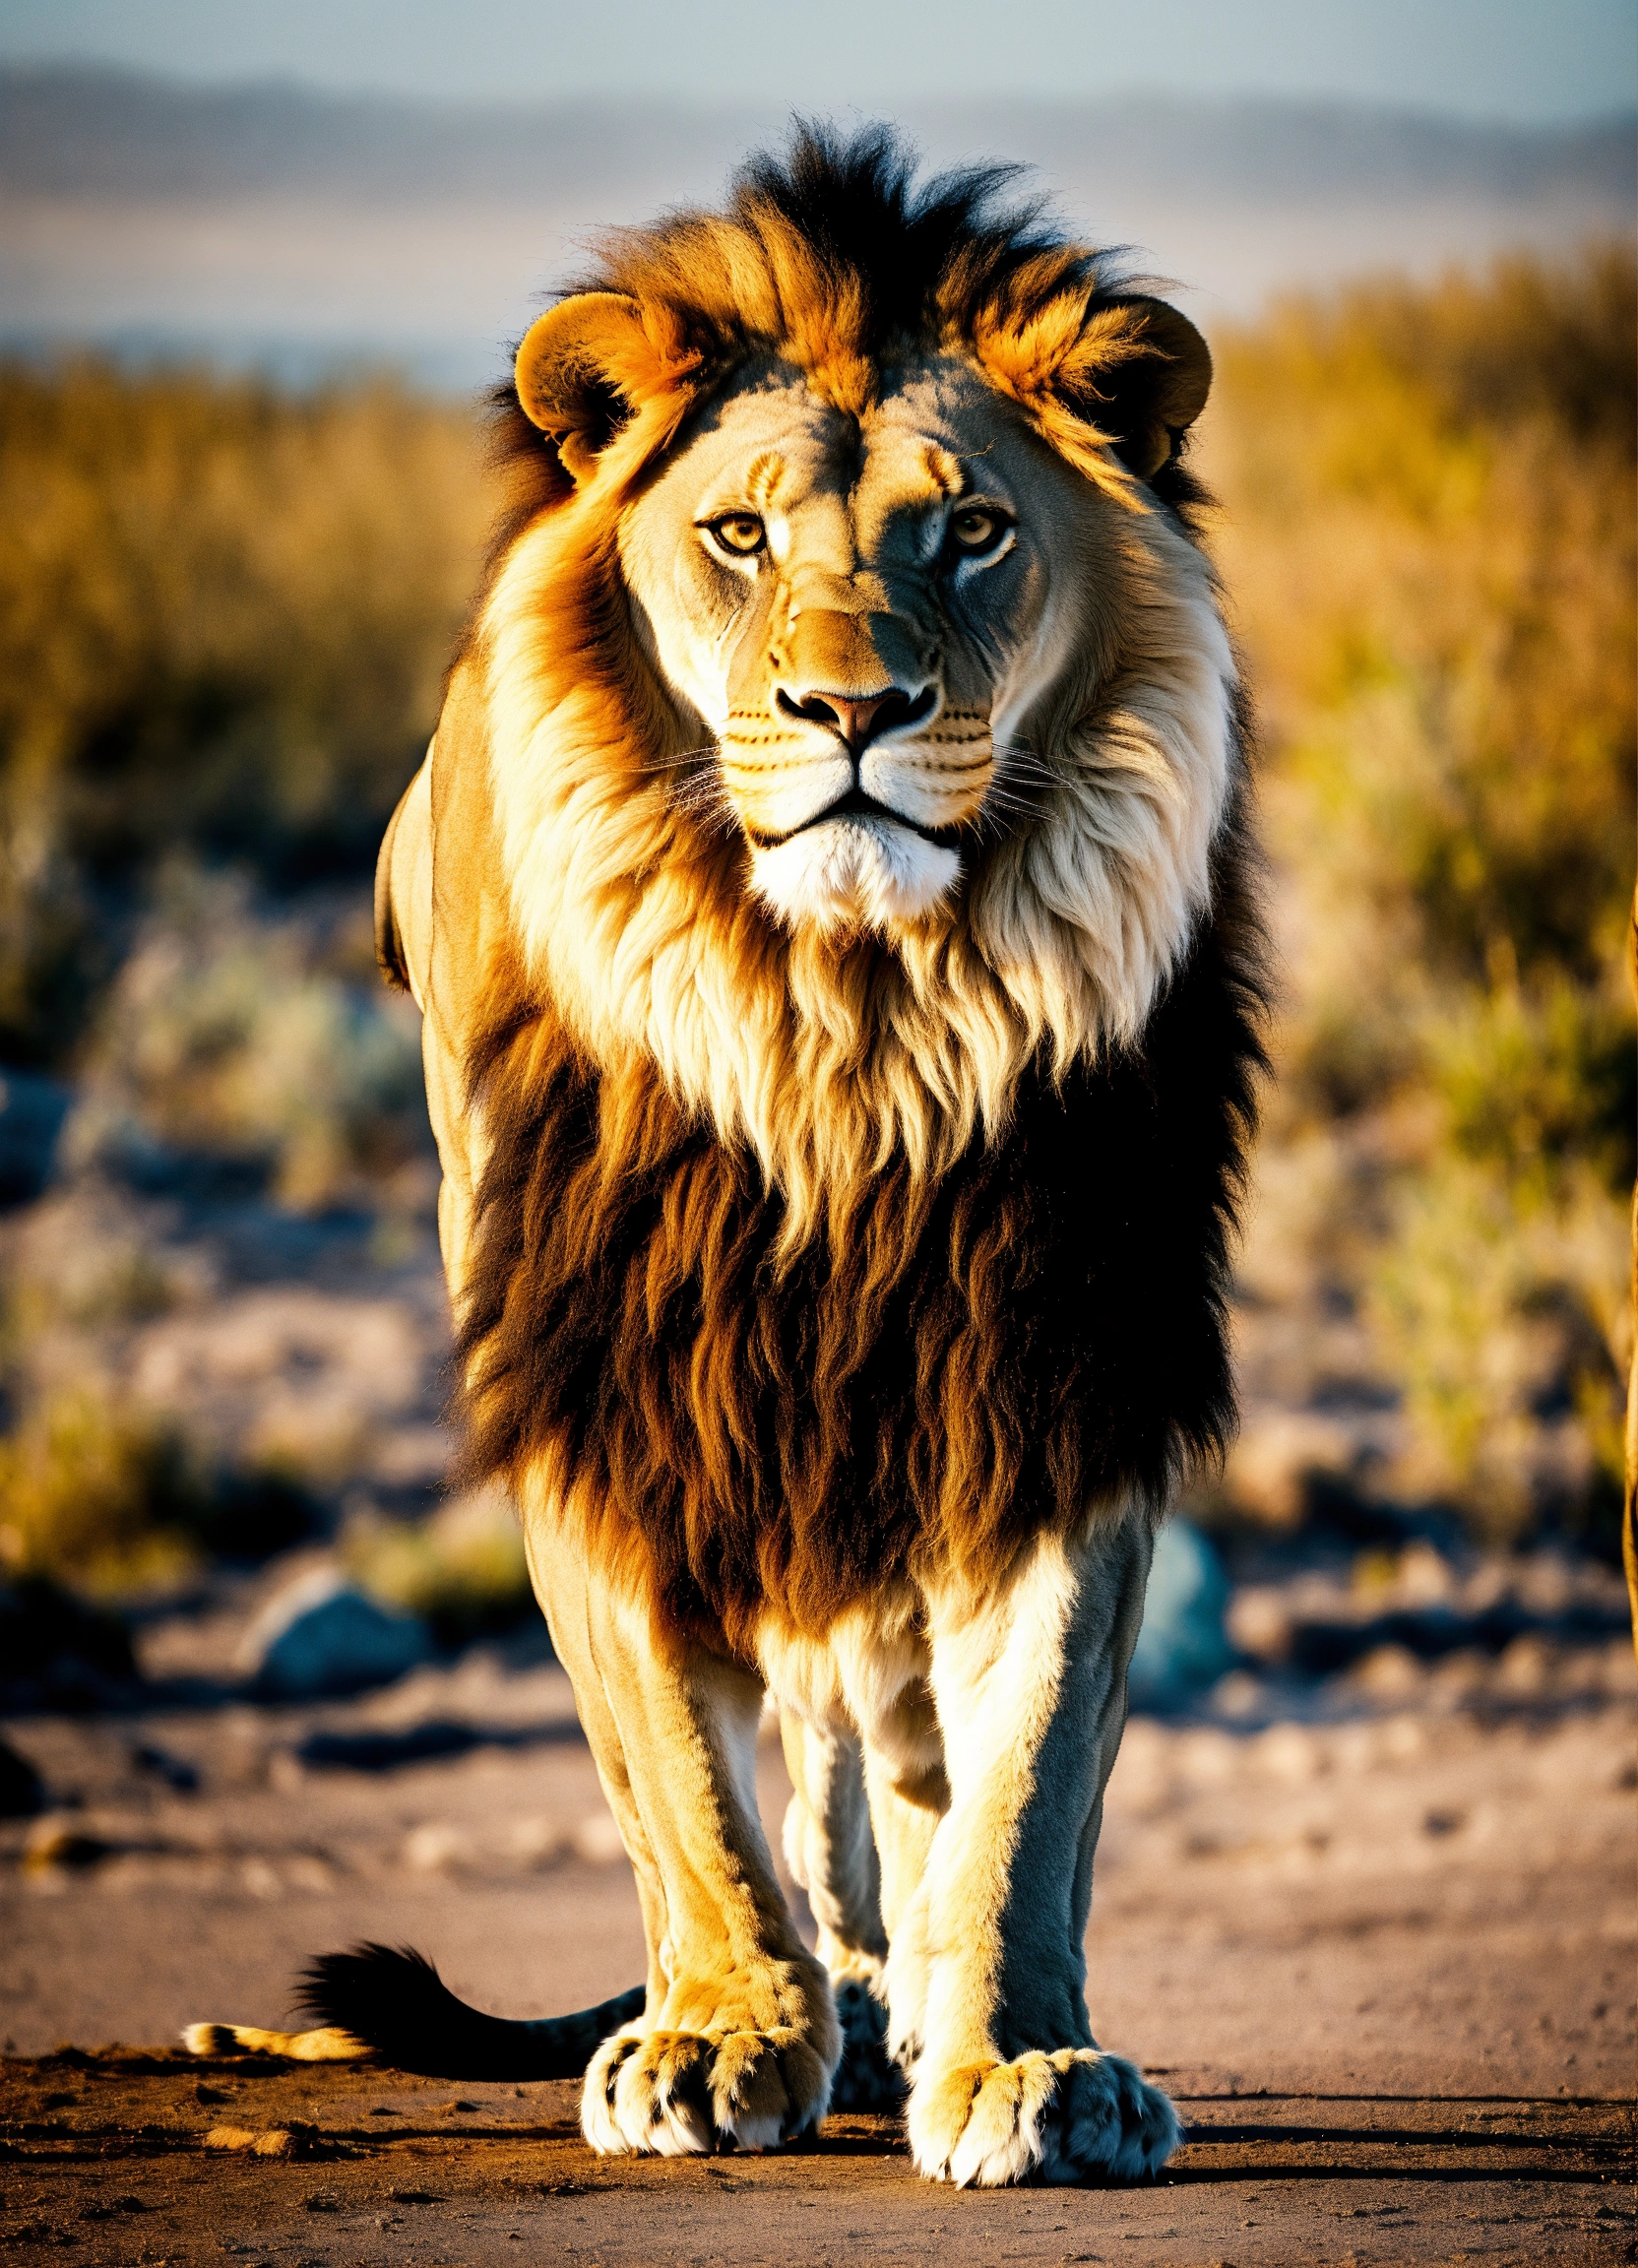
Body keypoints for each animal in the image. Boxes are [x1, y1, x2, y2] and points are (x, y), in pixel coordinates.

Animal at [187, 125, 1265, 2188]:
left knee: (888, 1738)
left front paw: (1024, 2055)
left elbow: (1026, 1771)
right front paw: (717, 2032)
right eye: (739, 538)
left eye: (970, 531)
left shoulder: (1052, 1350)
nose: (850, 711)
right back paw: (828, 1997)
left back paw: (904, 2000)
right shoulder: (596, 1359)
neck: (841, 1028)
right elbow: (676, 1770)